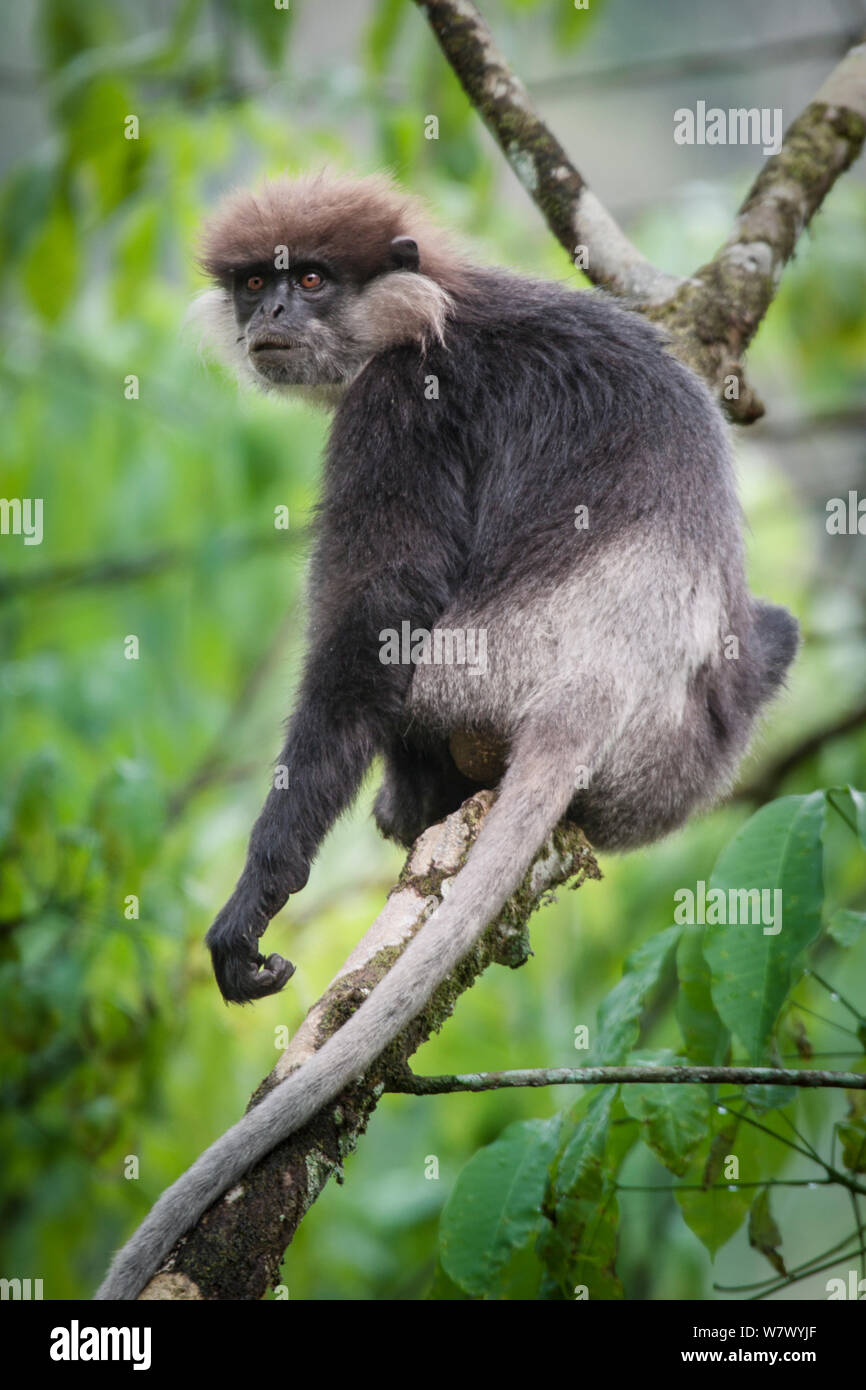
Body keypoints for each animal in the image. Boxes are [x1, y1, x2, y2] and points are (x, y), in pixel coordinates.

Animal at [94, 171, 798, 1299]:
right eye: (253, 282)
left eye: (310, 278)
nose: (270, 312)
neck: (438, 303)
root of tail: (586, 702)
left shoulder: (399, 402)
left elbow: (370, 628)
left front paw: (256, 899)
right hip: (685, 759)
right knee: (770, 630)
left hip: (475, 680)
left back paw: (414, 804)